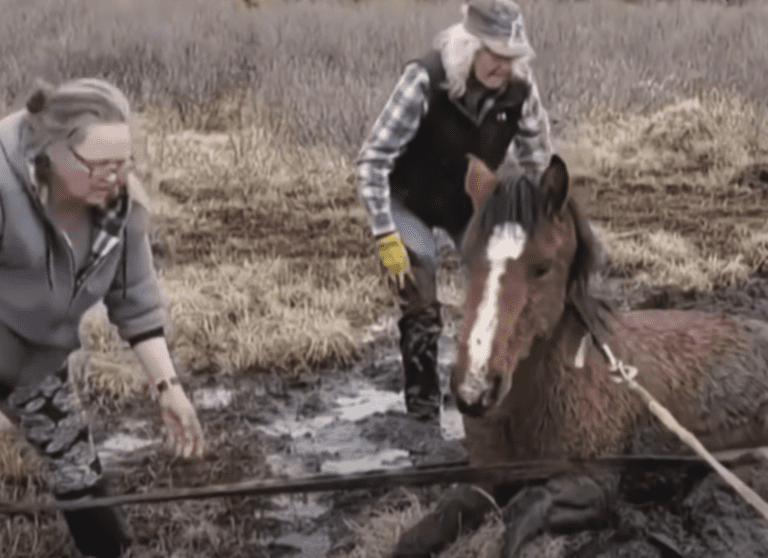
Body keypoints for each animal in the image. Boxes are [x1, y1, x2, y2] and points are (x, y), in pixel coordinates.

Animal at [393, 154, 768, 557]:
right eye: (467, 261)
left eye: (542, 267)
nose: (474, 390)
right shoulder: (483, 478)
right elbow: (426, 529)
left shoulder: (592, 484)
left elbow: (522, 513)